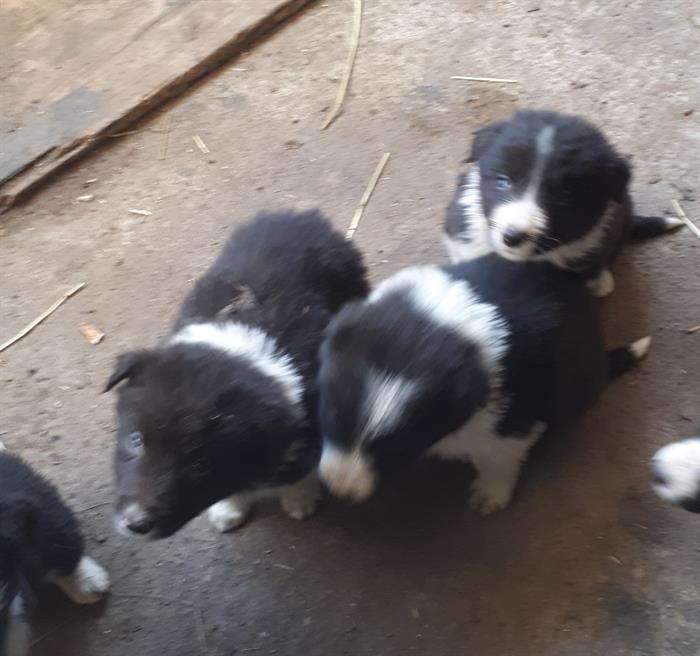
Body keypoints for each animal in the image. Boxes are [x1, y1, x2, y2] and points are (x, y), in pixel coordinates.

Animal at [106, 210, 370, 540]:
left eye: (200, 466)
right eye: (136, 440)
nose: (137, 523)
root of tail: (304, 216)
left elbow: (298, 468)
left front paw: (300, 498)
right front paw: (228, 509)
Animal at [318, 256, 652, 512]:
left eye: (396, 444)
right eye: (332, 416)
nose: (339, 487)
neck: (437, 329)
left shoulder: (513, 420)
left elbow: (496, 459)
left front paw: (489, 496)